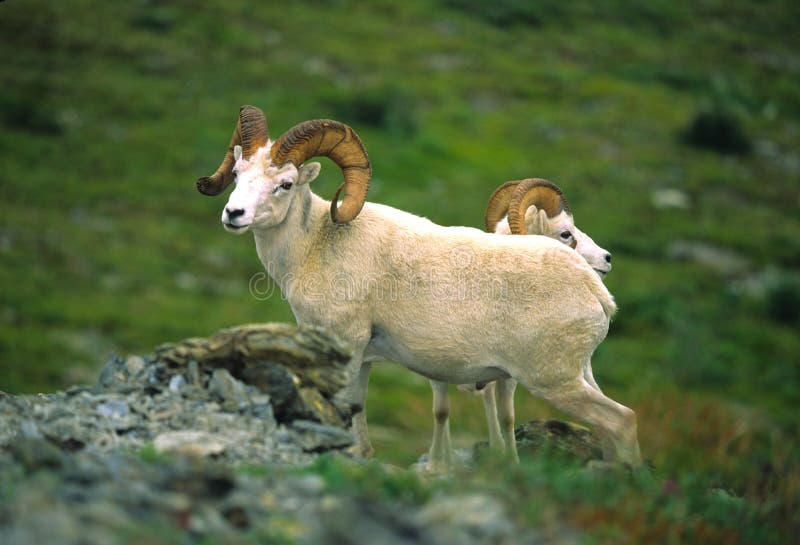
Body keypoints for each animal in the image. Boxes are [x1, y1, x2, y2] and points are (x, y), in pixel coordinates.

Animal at [427, 179, 614, 469]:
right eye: (565, 233)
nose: (607, 258)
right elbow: (442, 413)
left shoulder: (507, 376)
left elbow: (506, 417)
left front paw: (509, 461)